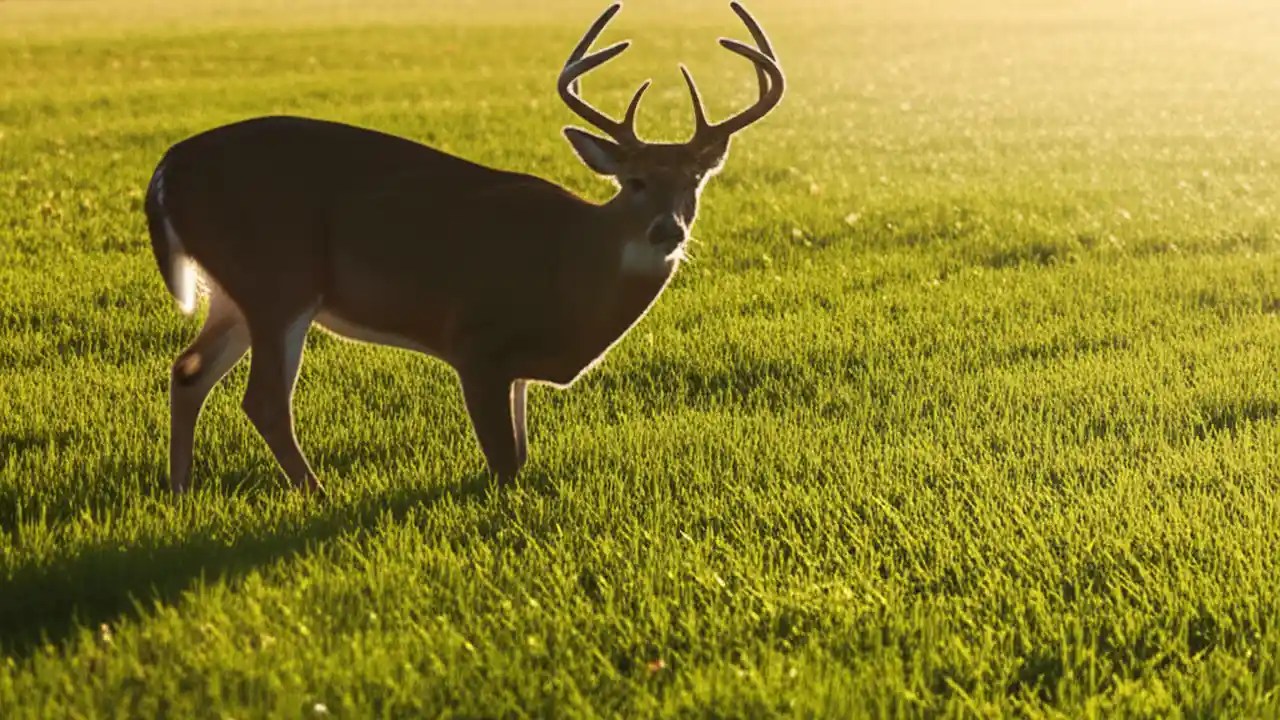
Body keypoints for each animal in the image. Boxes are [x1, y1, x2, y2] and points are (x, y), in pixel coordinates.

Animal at [144, 1, 785, 495]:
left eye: (694, 180)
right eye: (633, 182)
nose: (667, 230)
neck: (573, 269)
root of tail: (169, 167)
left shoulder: (515, 367)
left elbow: (520, 455)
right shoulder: (476, 340)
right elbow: (504, 465)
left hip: (236, 288)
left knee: (188, 371)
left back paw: (180, 492)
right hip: (279, 275)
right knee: (265, 400)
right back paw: (316, 495)